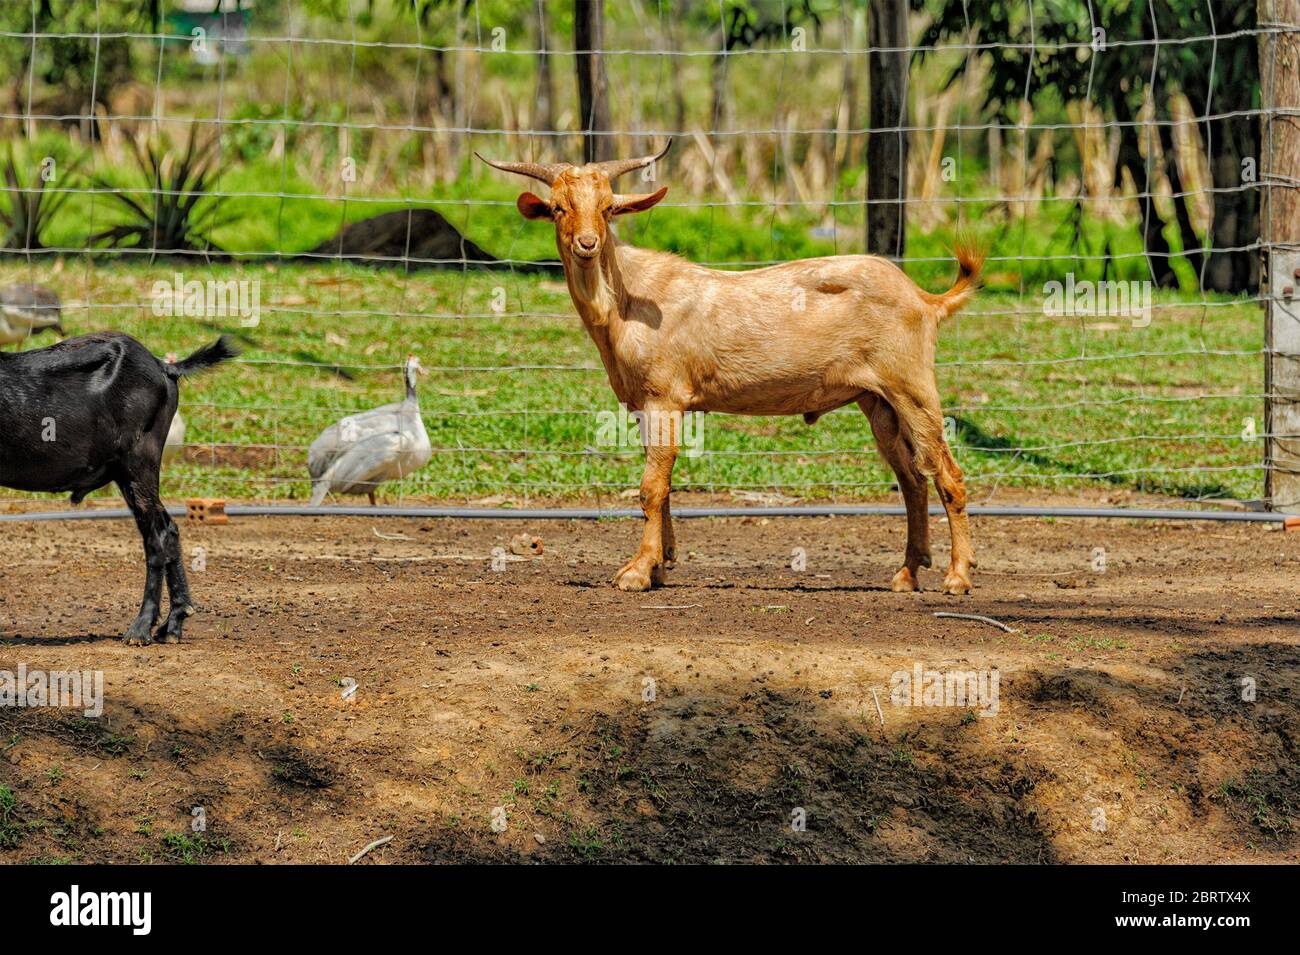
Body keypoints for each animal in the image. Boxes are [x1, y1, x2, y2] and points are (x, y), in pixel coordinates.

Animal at [0, 332, 239, 644]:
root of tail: (163, 367)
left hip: (139, 461)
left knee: (157, 535)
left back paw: (141, 628)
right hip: (127, 473)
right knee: (169, 527)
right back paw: (173, 623)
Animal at [479, 142, 982, 595]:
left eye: (608, 208)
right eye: (558, 207)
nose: (587, 244)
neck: (625, 300)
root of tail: (926, 299)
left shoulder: (664, 397)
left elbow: (650, 487)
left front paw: (636, 573)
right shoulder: (644, 405)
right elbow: (663, 483)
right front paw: (661, 566)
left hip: (912, 386)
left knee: (949, 475)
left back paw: (957, 578)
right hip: (878, 402)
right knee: (913, 478)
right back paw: (907, 574)